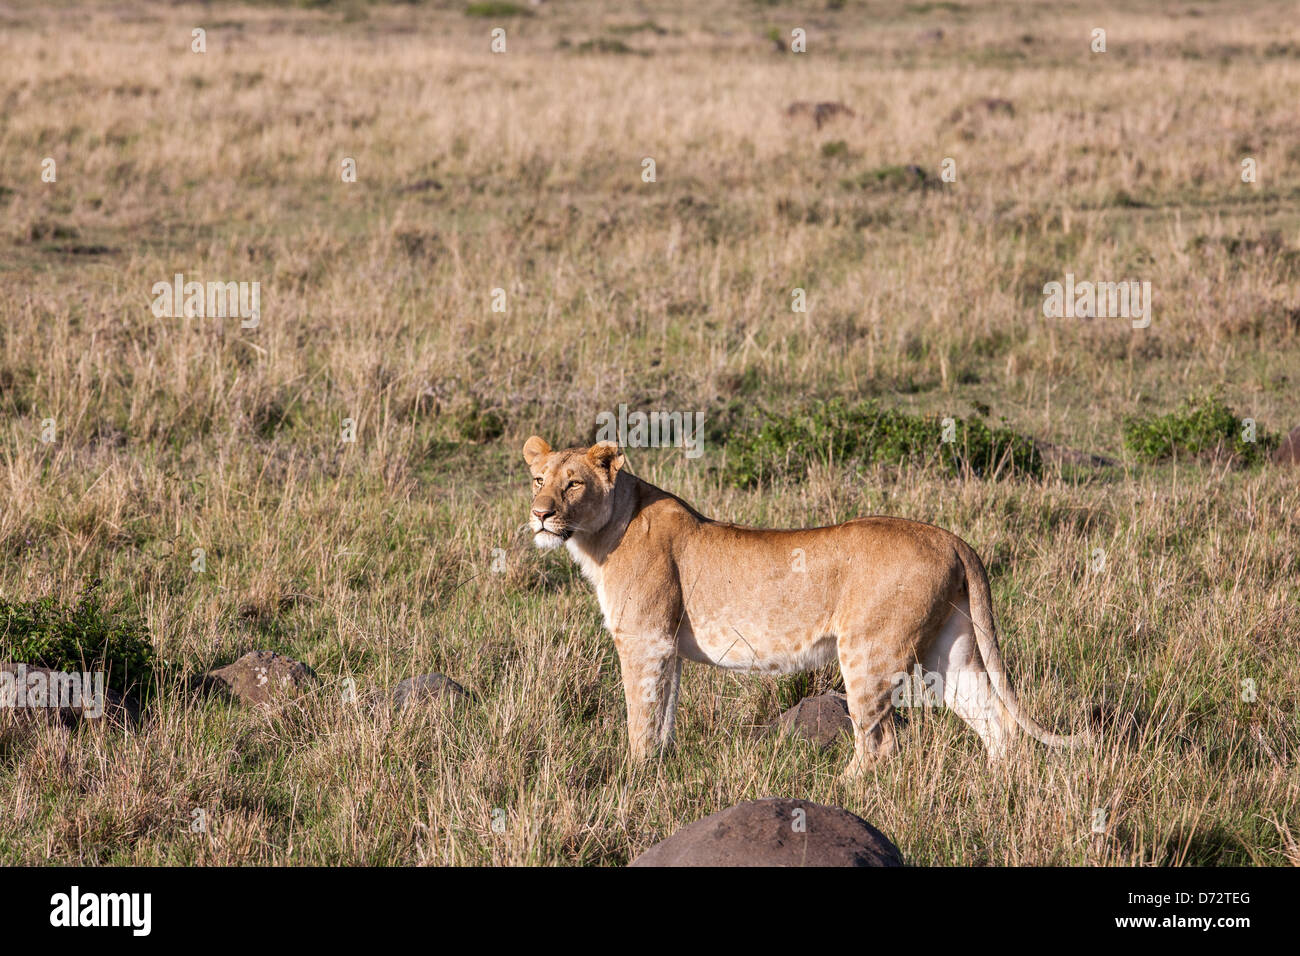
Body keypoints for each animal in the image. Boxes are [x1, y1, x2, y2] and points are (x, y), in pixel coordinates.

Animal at [523, 436, 1090, 775]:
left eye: (574, 483)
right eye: (539, 480)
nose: (540, 514)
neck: (598, 538)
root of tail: (949, 536)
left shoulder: (645, 641)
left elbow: (640, 713)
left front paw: (636, 776)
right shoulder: (665, 647)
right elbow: (663, 713)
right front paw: (661, 767)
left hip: (868, 651)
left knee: (879, 743)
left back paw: (841, 789)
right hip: (947, 651)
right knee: (997, 720)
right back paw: (998, 786)